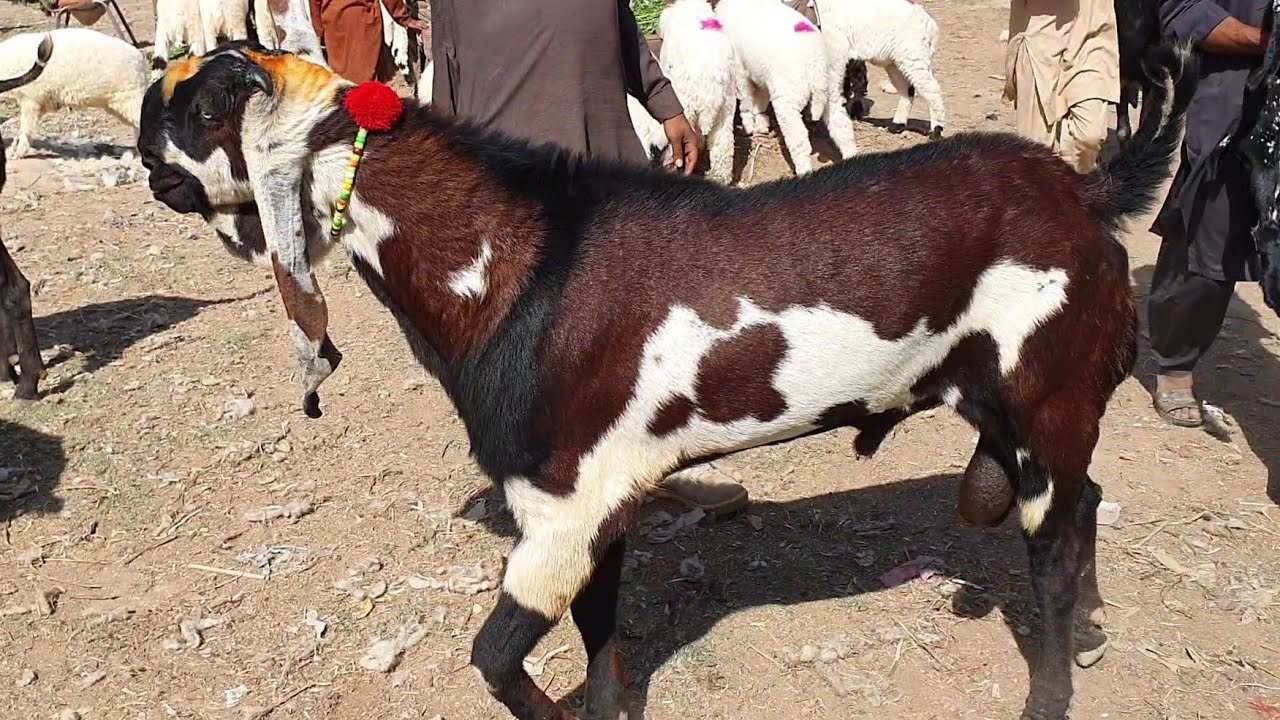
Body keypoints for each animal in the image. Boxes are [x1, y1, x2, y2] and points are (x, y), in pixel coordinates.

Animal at [137, 42, 1194, 720]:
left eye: (192, 113)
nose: (146, 166)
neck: (518, 261)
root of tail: (1085, 189)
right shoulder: (597, 500)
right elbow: (601, 629)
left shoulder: (560, 510)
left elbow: (493, 658)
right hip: (1015, 413)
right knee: (1075, 502)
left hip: (1050, 403)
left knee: (1054, 547)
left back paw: (1052, 687)